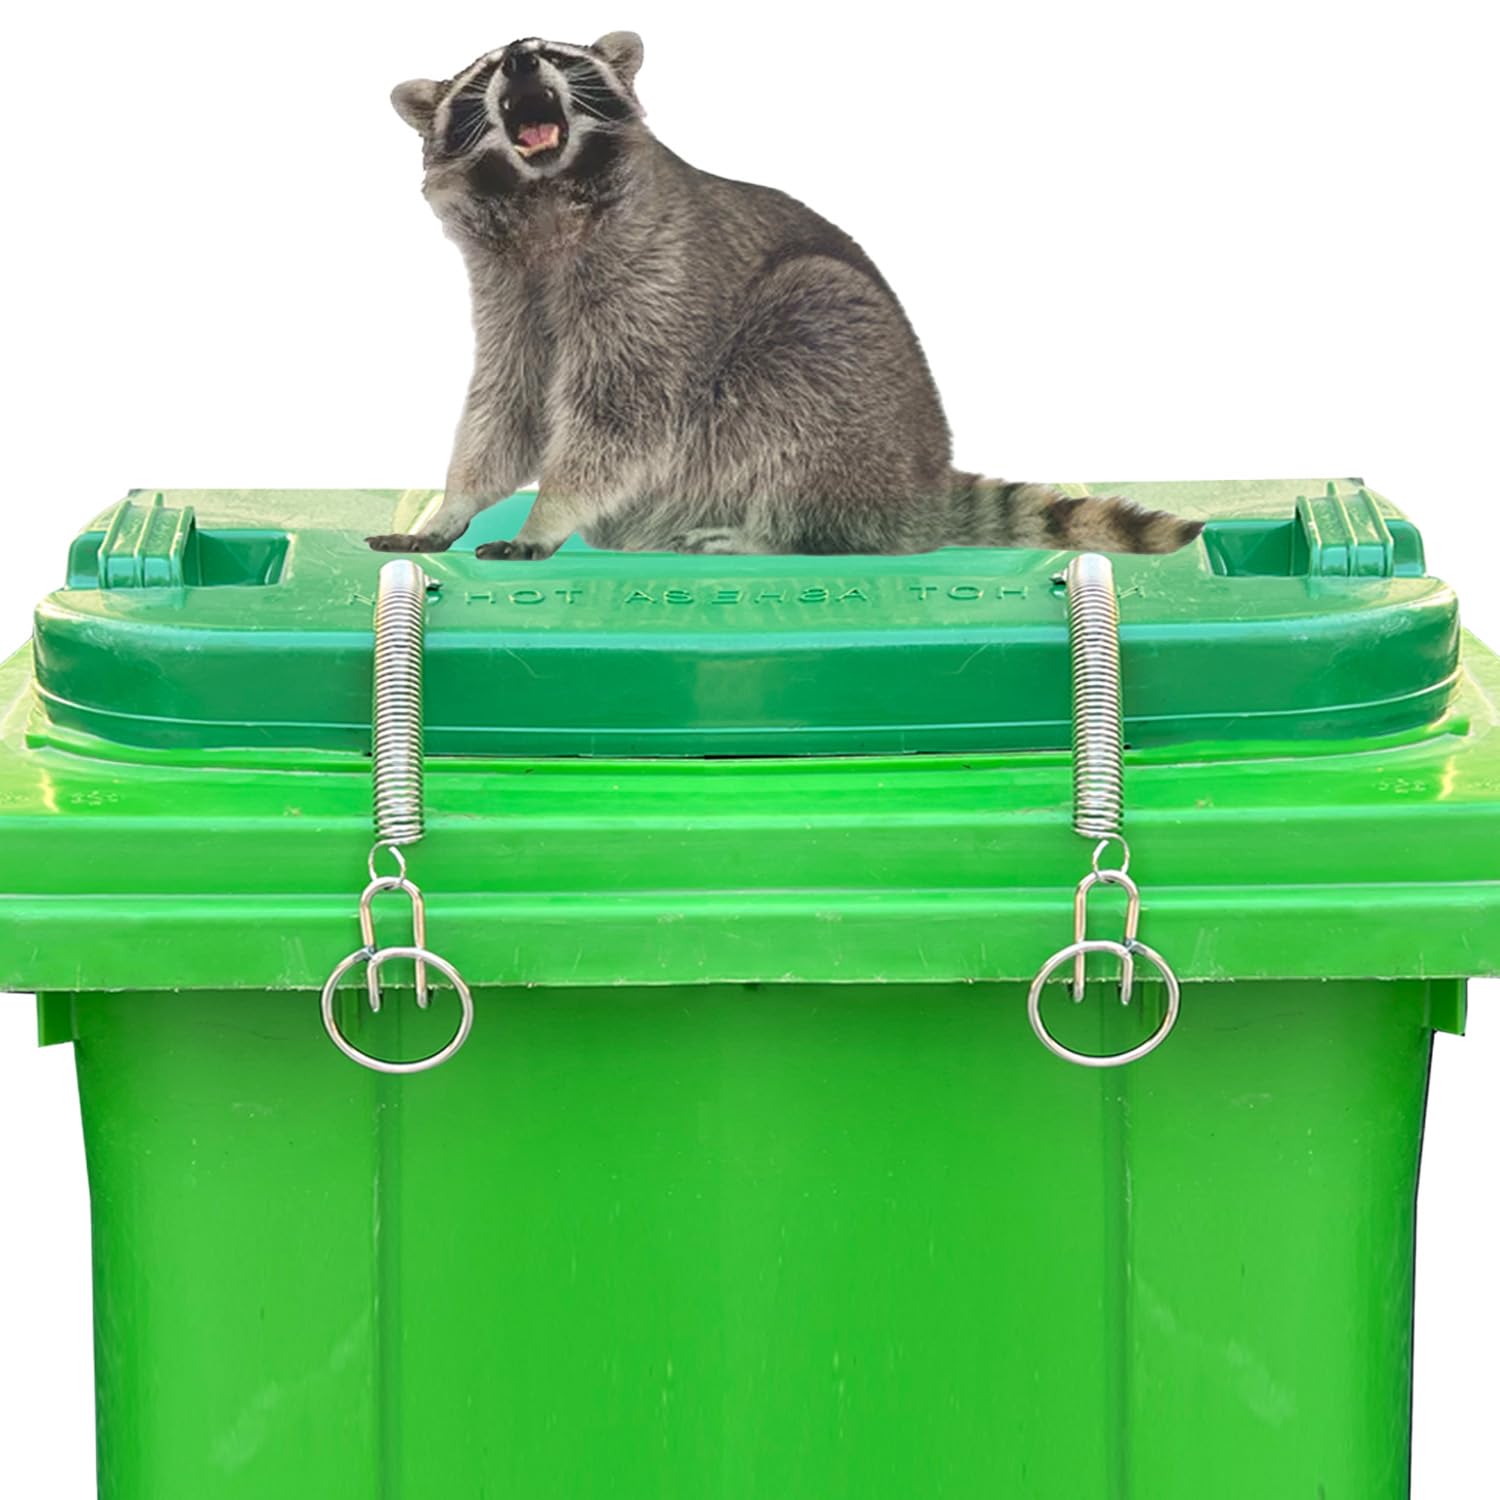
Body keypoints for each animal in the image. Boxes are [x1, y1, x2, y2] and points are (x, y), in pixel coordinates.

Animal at [368, 32, 1202, 561]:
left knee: (785, 402)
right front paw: (454, 502)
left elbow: (621, 418)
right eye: (481, 71)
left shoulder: (653, 282)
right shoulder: (508, 294)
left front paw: (549, 513)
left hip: (829, 359)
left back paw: (774, 532)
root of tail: (923, 481)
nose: (518, 58)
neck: (543, 195)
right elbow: (504, 410)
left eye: (562, 54)